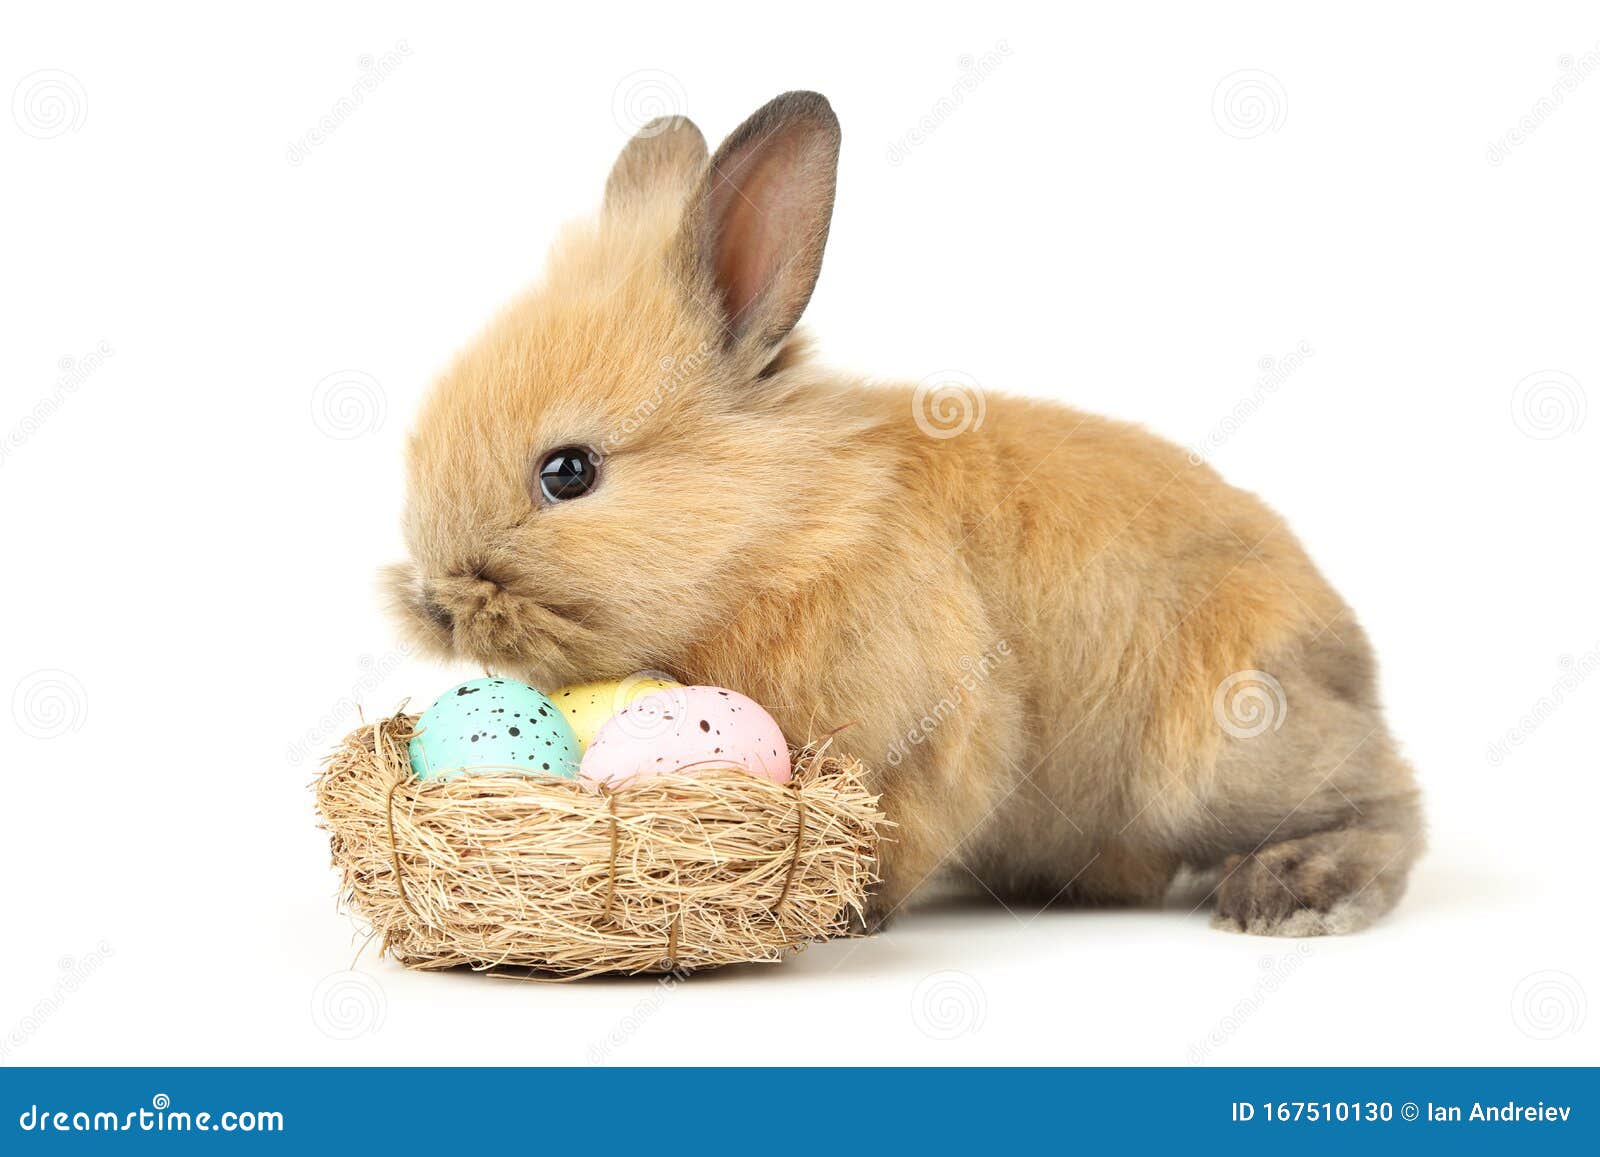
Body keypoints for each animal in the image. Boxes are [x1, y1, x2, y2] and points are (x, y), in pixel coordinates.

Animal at [384, 91, 1423, 937]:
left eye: (568, 471)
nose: (436, 604)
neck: (782, 530)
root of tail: (1356, 667)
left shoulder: (939, 736)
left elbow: (902, 832)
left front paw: (847, 915)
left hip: (1224, 753)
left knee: (1391, 808)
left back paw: (1295, 888)